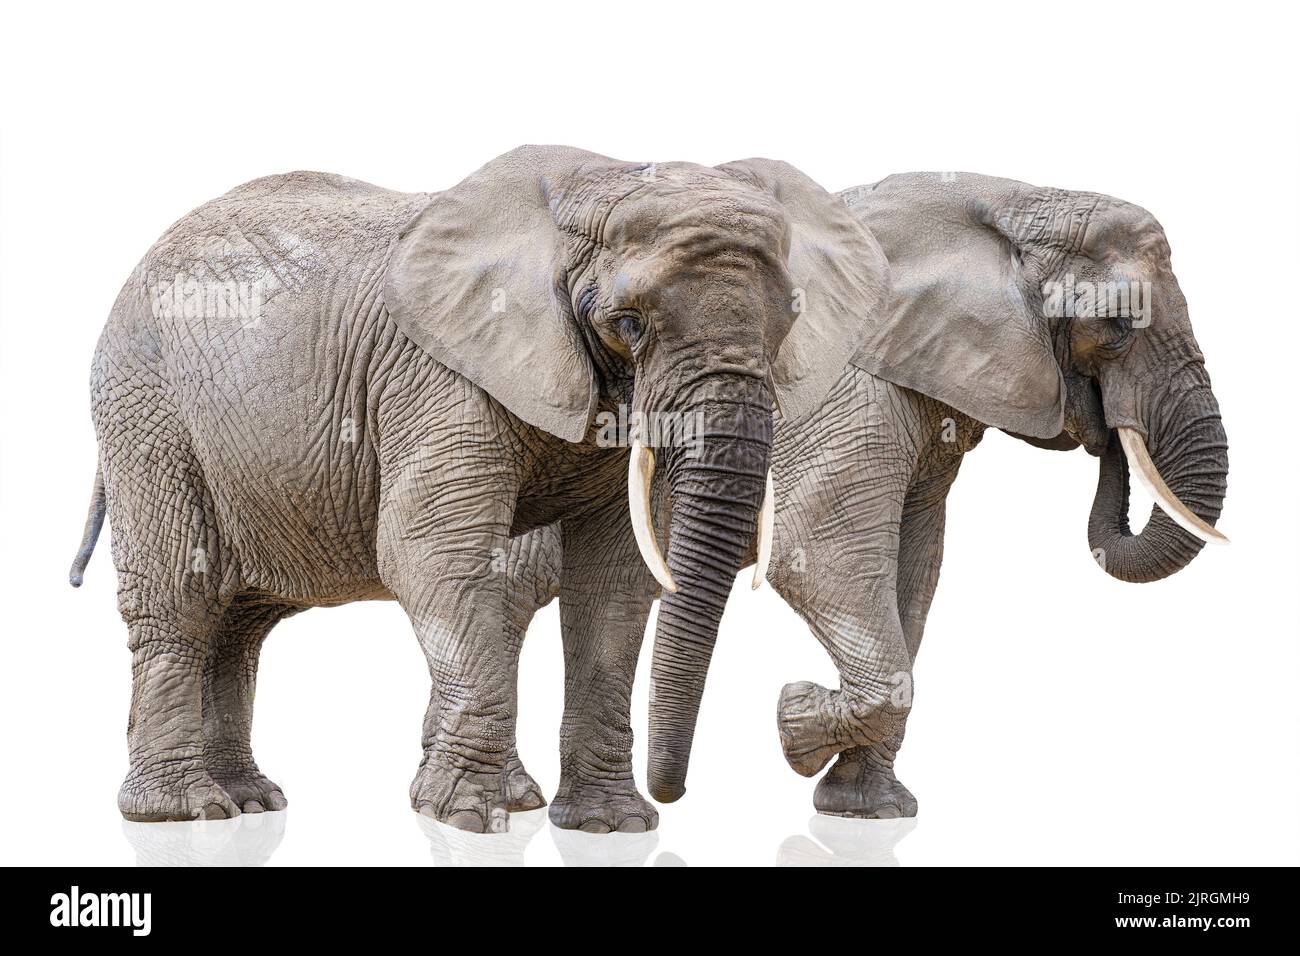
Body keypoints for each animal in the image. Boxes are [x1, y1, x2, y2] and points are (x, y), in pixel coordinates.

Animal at [68, 146, 889, 831]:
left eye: (787, 324)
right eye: (629, 323)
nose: (674, 794)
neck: (593, 188)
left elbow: (614, 580)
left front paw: (608, 827)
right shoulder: (436, 377)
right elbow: (432, 554)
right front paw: (468, 819)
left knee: (240, 621)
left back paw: (251, 803)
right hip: (147, 409)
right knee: (182, 595)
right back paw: (183, 814)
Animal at [481, 171, 1230, 819]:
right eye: (1117, 327)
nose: (1106, 434)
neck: (1004, 202)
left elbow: (914, 573)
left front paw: (868, 810)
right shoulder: (846, 391)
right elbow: (820, 554)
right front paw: (792, 720)